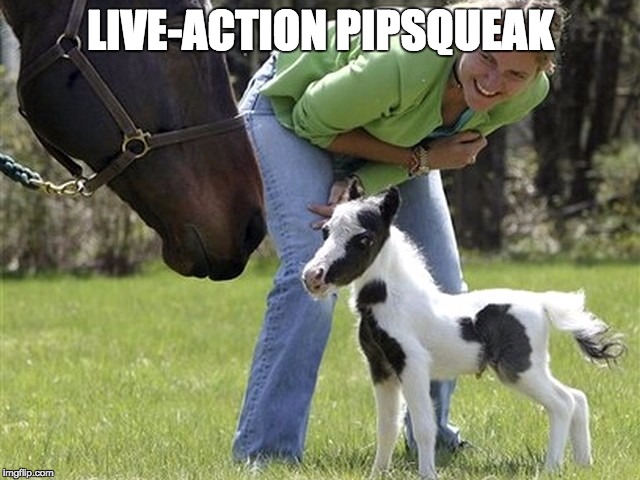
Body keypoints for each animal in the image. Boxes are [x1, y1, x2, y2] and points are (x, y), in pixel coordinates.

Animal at [302, 187, 625, 479]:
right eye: (326, 231)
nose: (313, 277)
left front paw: (428, 475)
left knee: (563, 403)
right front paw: (377, 474)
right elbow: (386, 427)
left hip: (519, 369)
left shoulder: (413, 365)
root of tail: (542, 302)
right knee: (578, 397)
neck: (396, 301)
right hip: (529, 368)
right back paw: (583, 464)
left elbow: (424, 427)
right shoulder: (381, 368)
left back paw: (551, 468)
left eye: (364, 239)